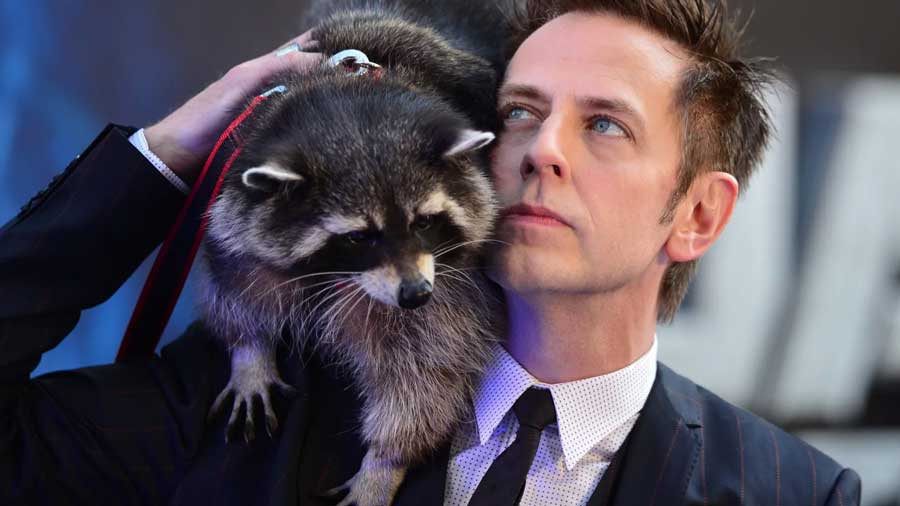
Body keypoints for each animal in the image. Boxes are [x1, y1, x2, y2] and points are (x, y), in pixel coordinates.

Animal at [202, 1, 512, 505]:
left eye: (424, 222)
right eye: (358, 237)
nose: (415, 295)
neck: (350, 99)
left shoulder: (453, 284)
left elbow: (428, 372)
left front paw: (384, 464)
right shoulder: (236, 191)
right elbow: (237, 279)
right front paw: (249, 350)